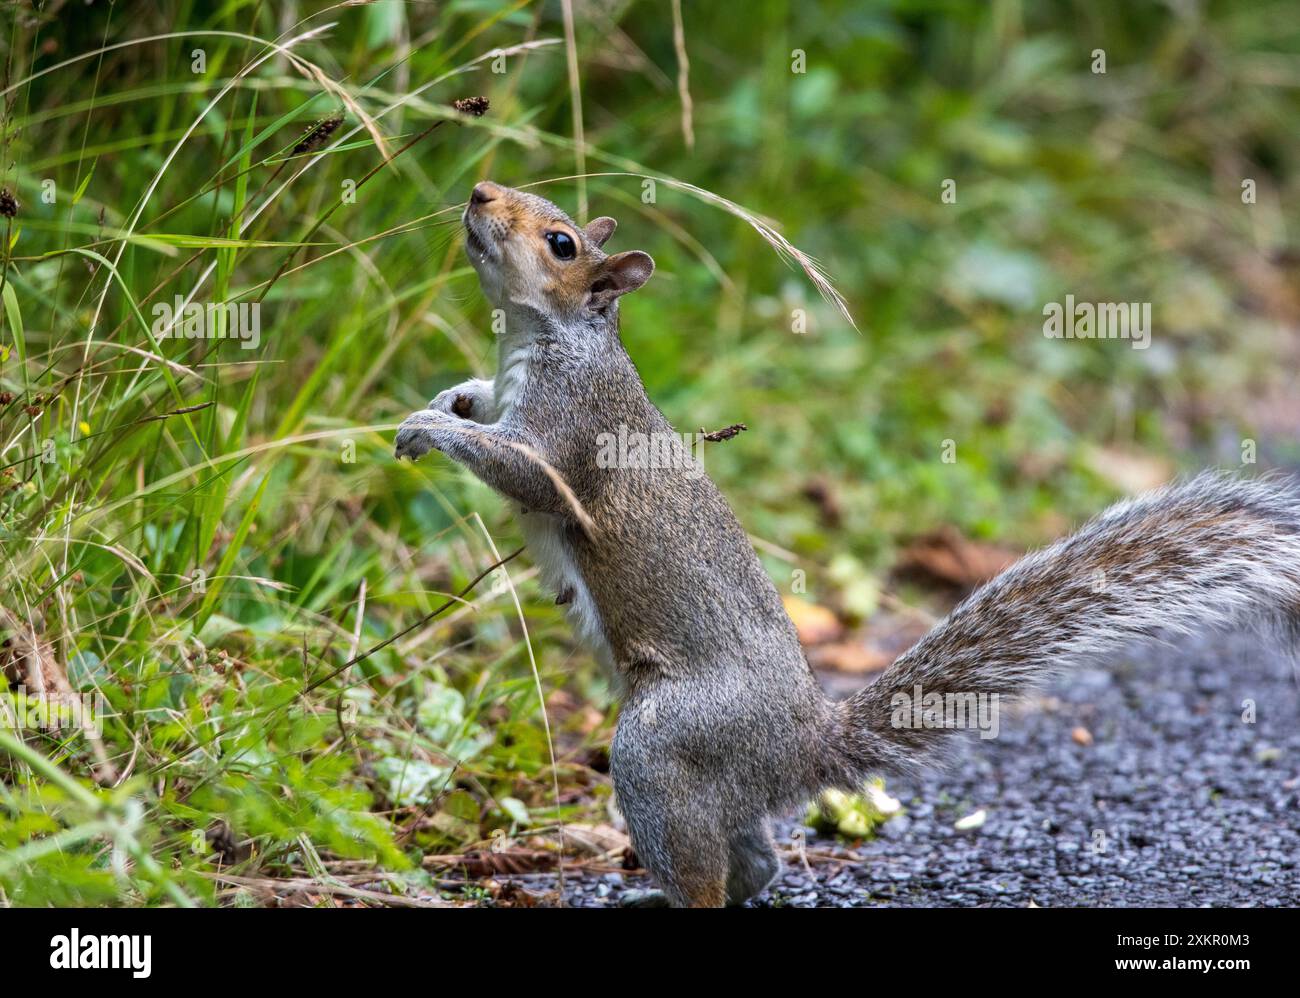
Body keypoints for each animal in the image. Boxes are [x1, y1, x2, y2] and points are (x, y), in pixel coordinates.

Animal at [394, 181, 1300, 907]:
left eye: (560, 242)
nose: (479, 191)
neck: (543, 338)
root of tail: (798, 748)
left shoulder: (570, 433)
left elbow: (523, 469)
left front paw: (431, 427)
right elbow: (483, 404)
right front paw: (450, 398)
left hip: (661, 748)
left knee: (705, 874)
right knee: (755, 863)